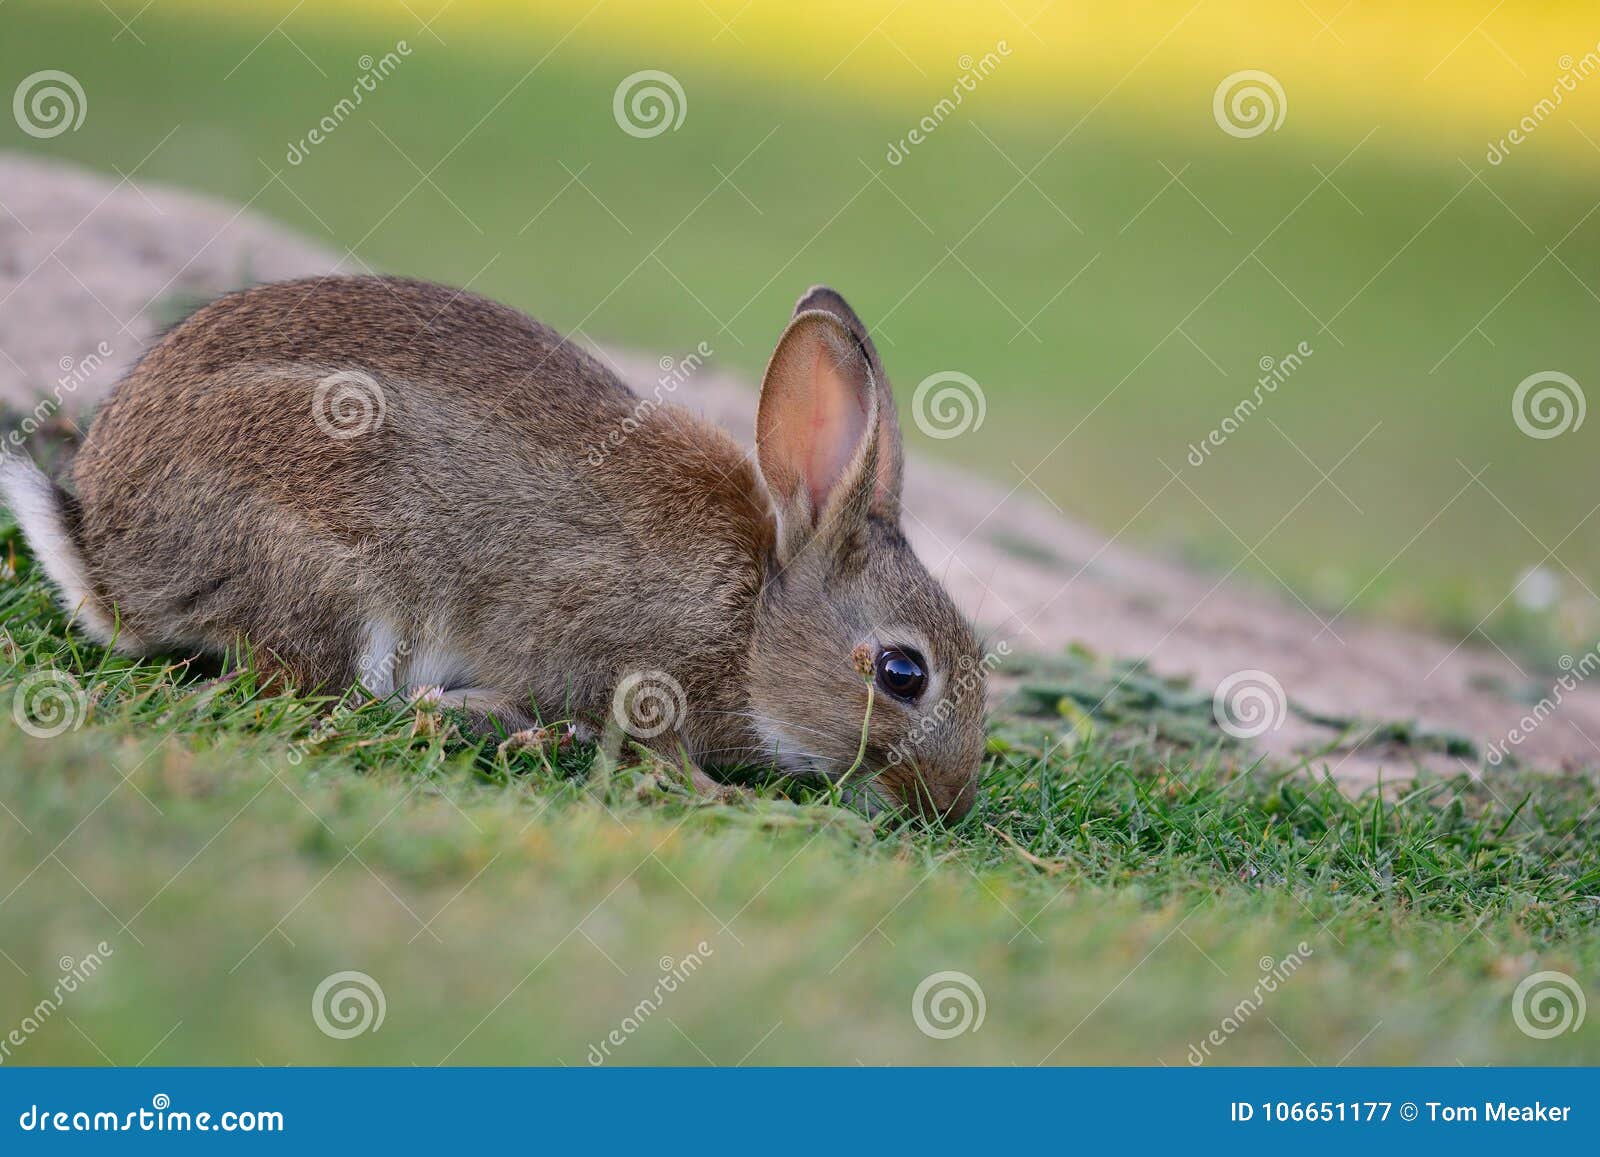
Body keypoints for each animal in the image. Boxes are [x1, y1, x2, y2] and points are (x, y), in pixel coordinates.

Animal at [0, 276, 987, 820]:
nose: (949, 801)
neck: (753, 618)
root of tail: (109, 562)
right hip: (341, 564)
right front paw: (724, 796)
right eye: (902, 673)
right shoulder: (626, 653)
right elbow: (656, 742)